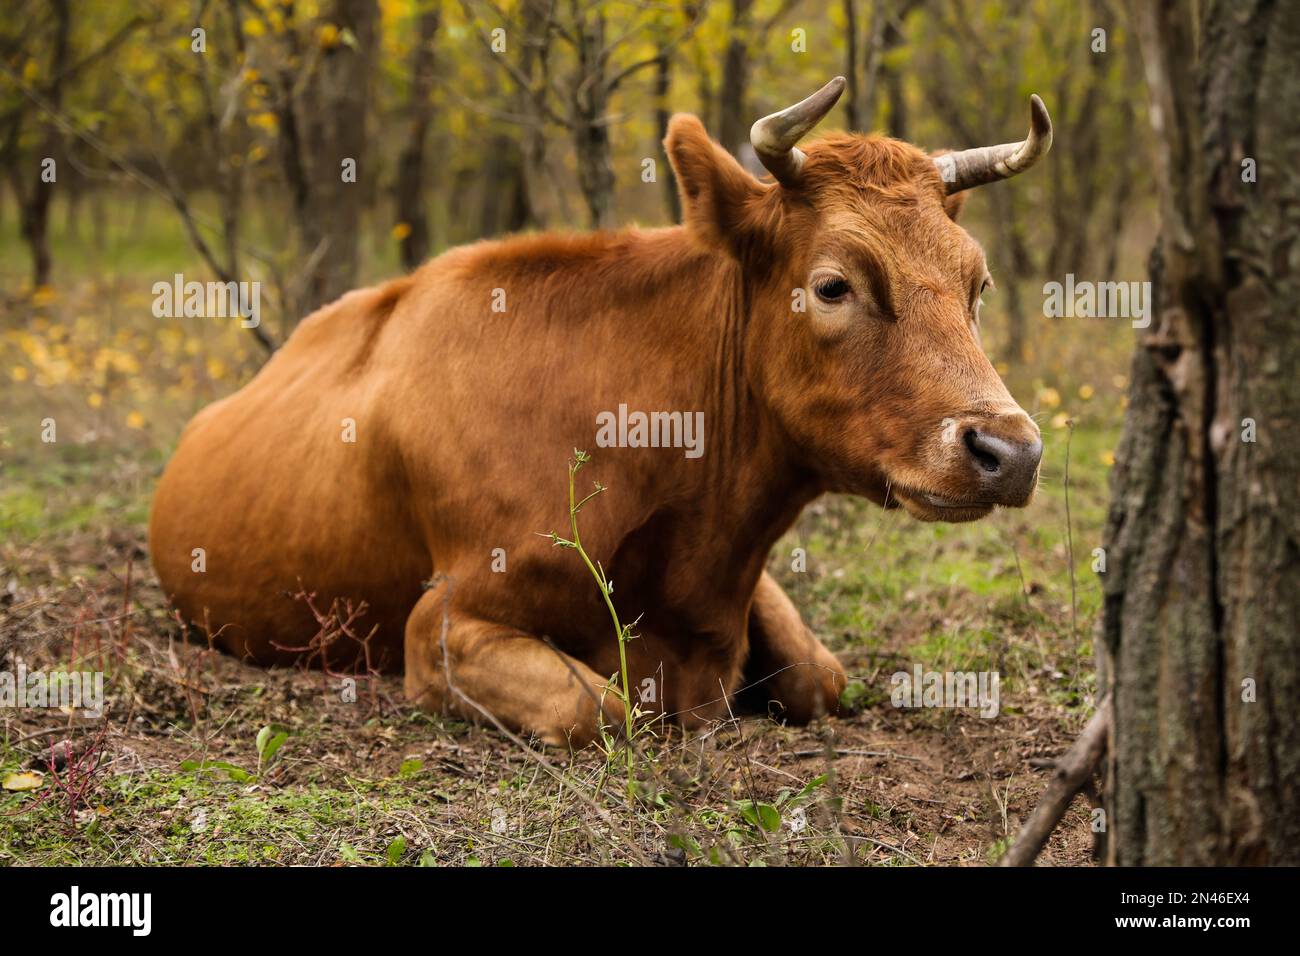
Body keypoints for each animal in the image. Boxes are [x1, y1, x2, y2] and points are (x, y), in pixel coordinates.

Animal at [149, 77, 1049, 746]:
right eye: (833, 285)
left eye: (977, 285)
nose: (1011, 450)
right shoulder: (439, 625)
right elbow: (599, 708)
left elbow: (817, 676)